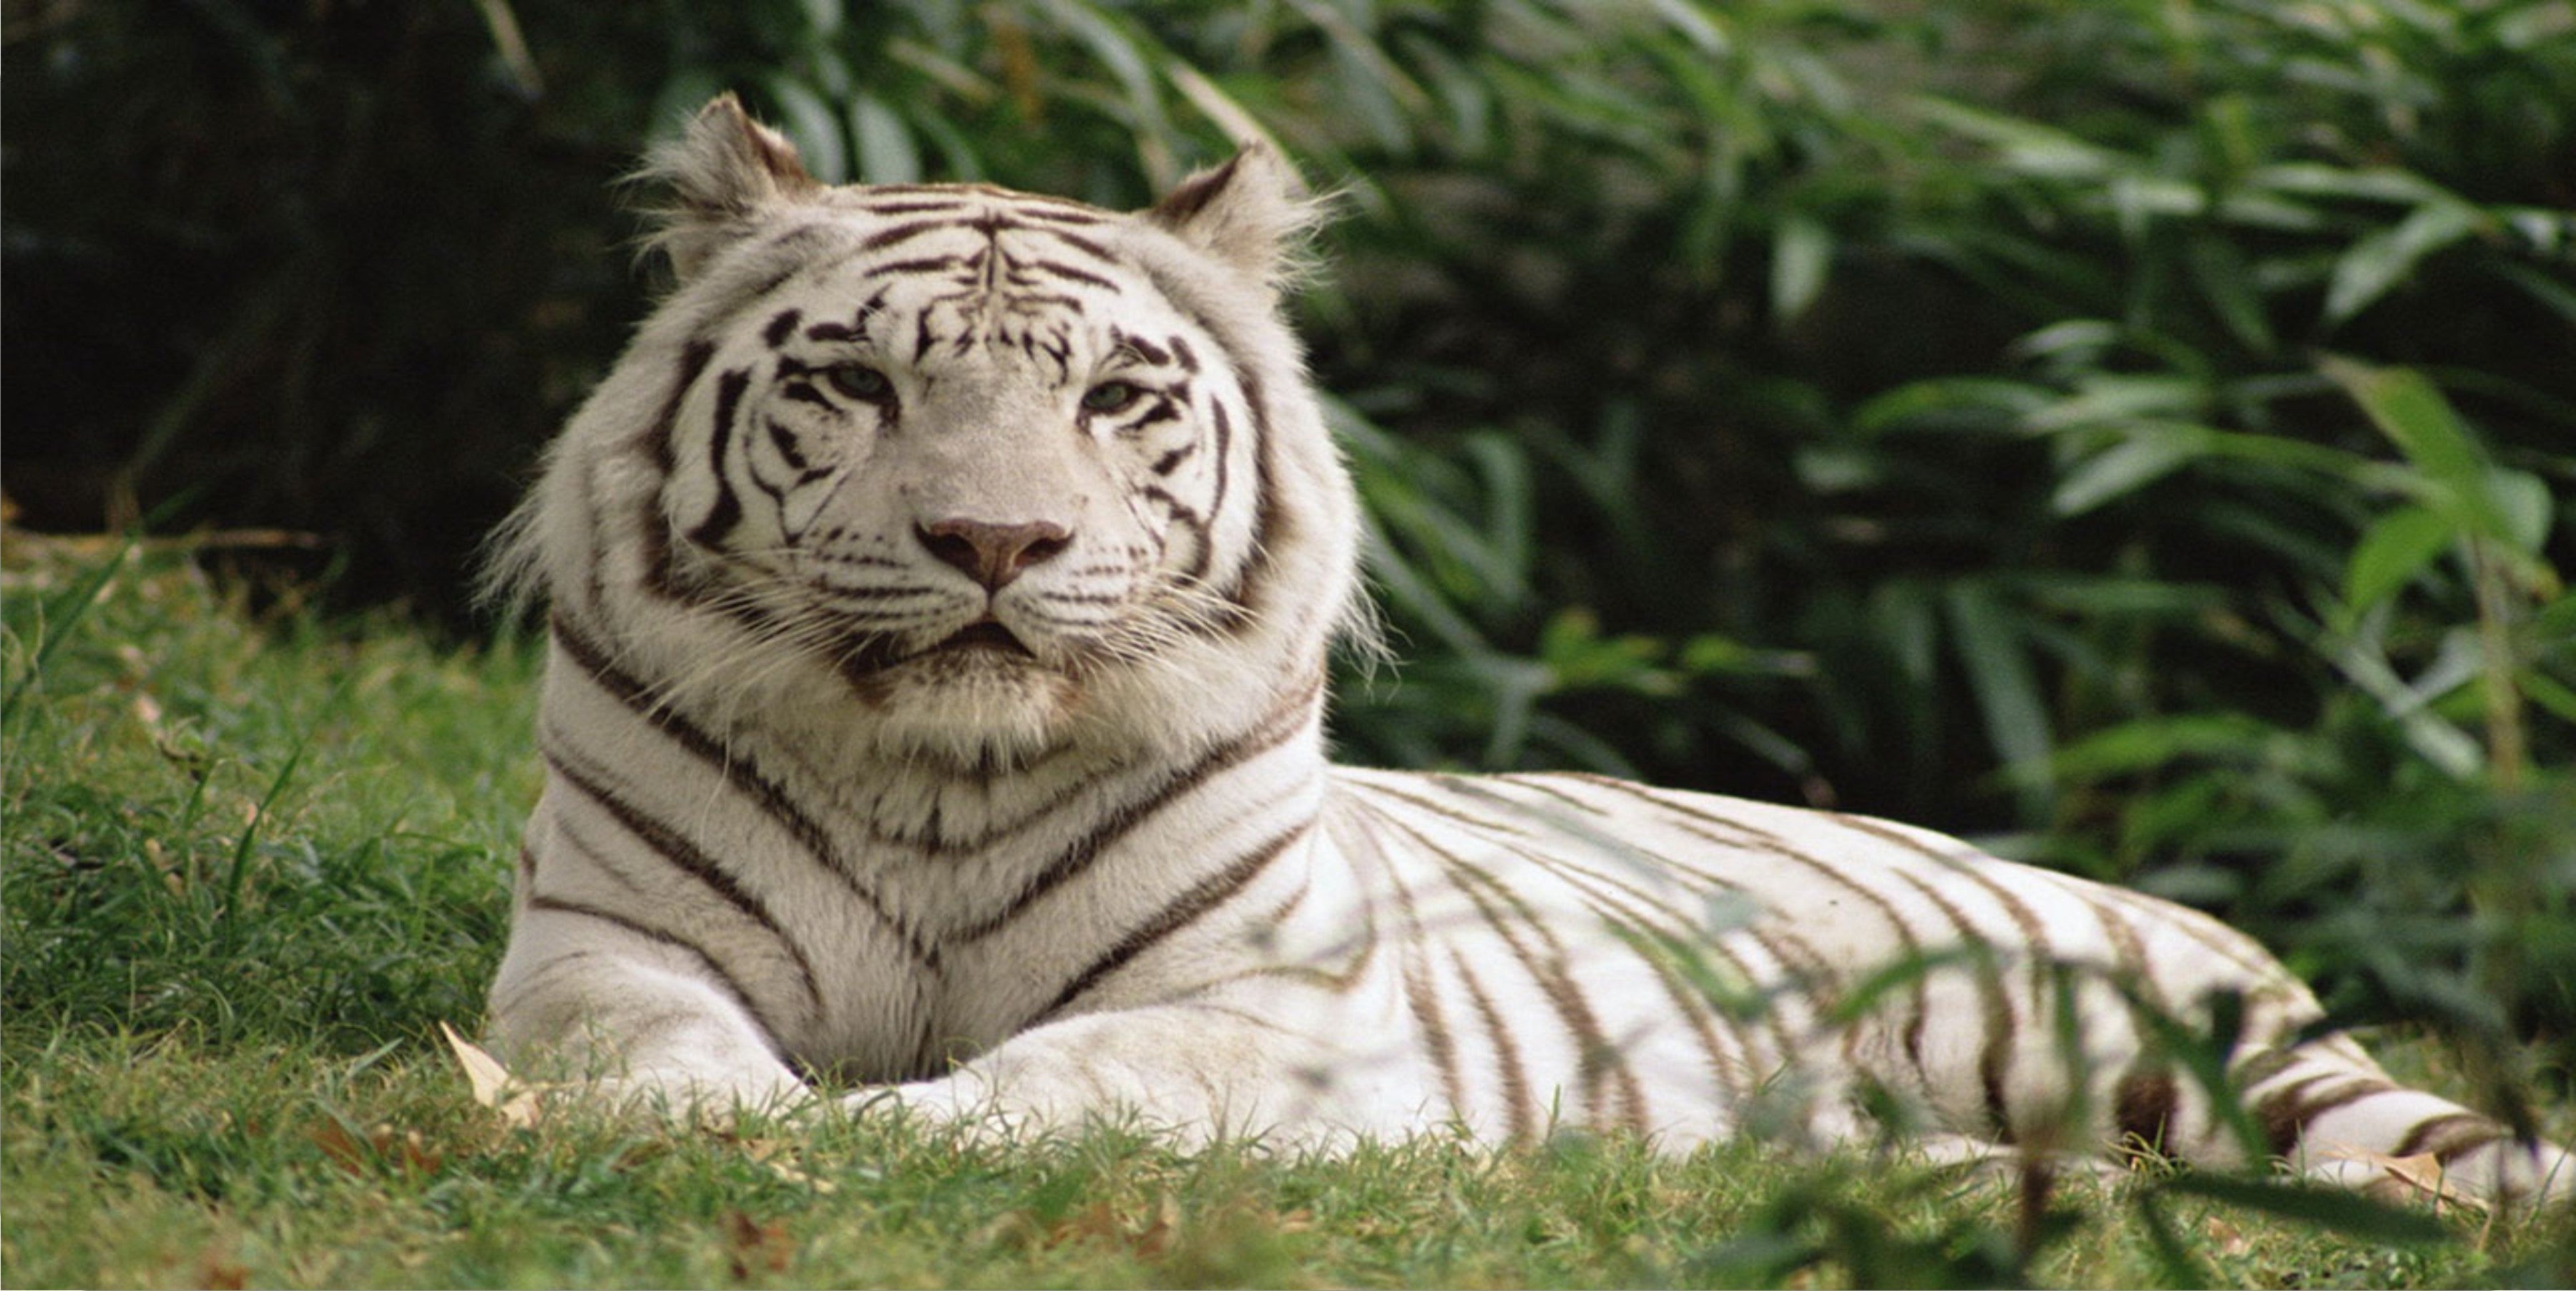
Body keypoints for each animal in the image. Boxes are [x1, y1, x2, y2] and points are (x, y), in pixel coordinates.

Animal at [480, 93, 2569, 1203]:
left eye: (1114, 399)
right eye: (855, 382)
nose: (998, 541)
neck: (940, 767)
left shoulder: (1275, 1012)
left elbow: (1072, 1076)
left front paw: (889, 1133)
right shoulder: (607, 937)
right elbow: (648, 1045)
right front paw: (736, 1120)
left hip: (2147, 1029)